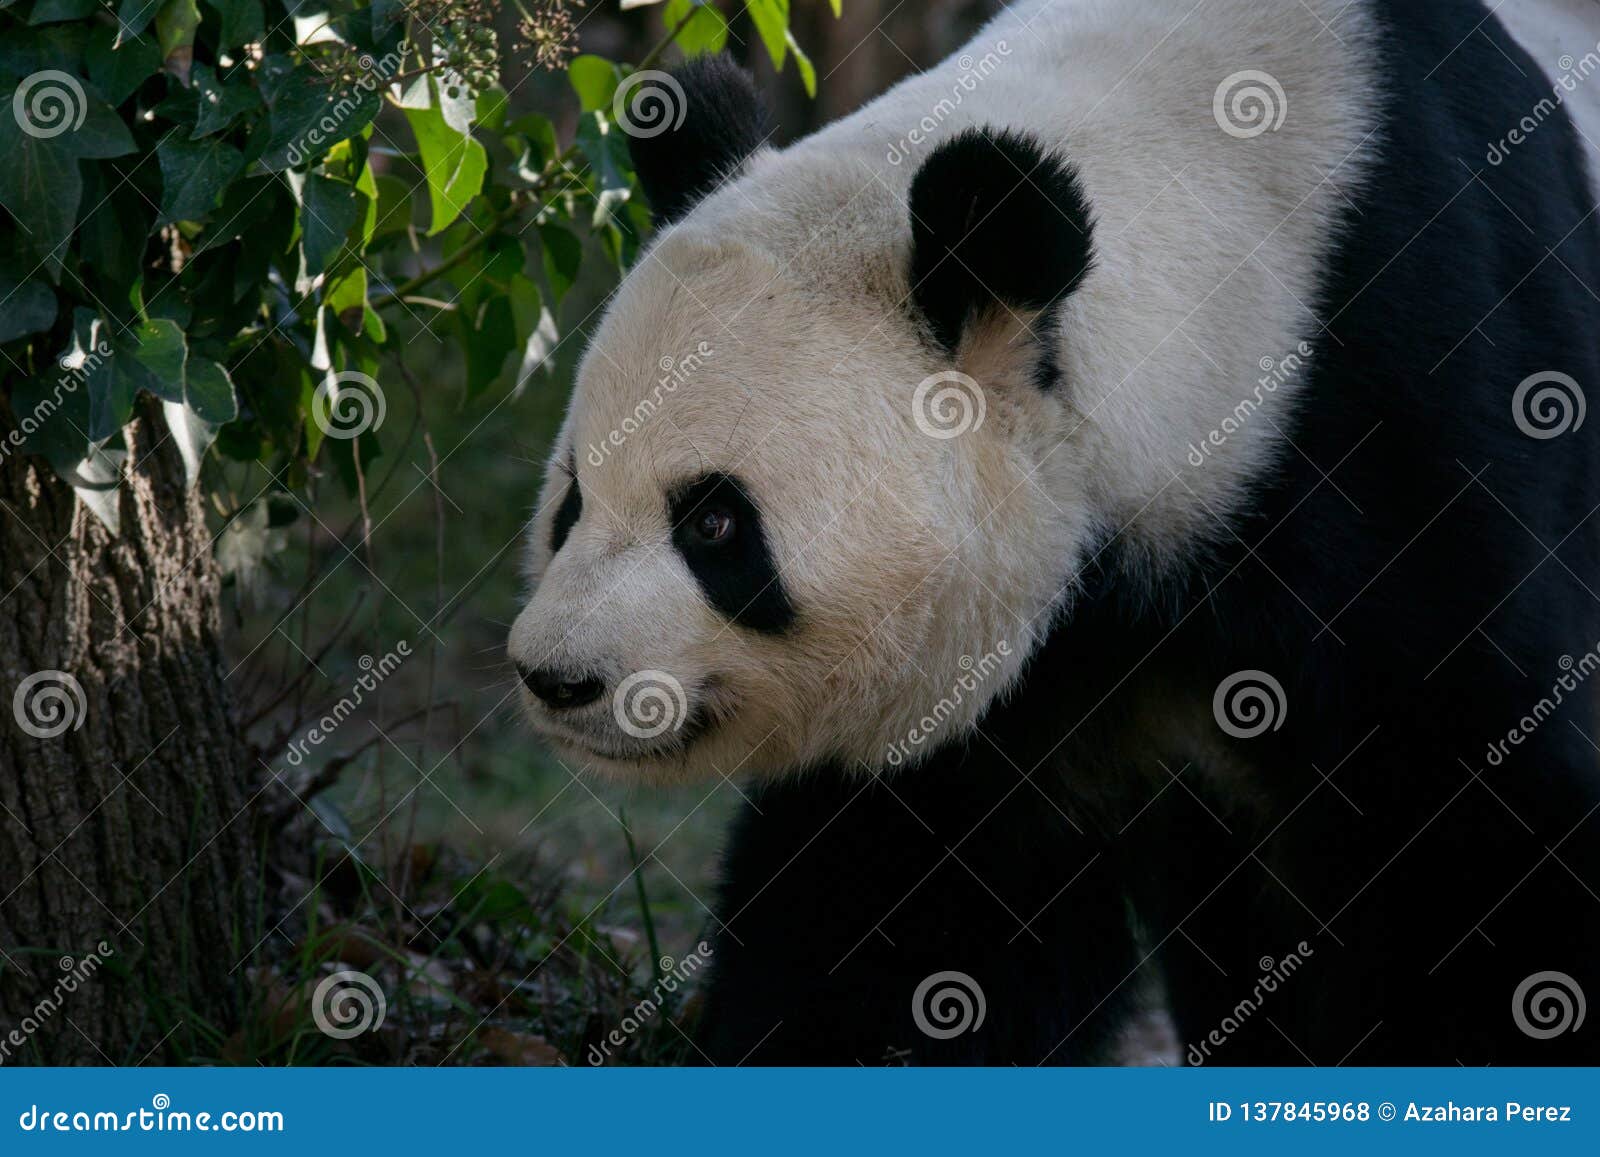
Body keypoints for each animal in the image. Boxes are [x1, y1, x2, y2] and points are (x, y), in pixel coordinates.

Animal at [508, 0, 1600, 1065]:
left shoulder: (1419, 421)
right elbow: (908, 905)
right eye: (572, 502)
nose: (558, 677)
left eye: (715, 521)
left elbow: (1474, 836)